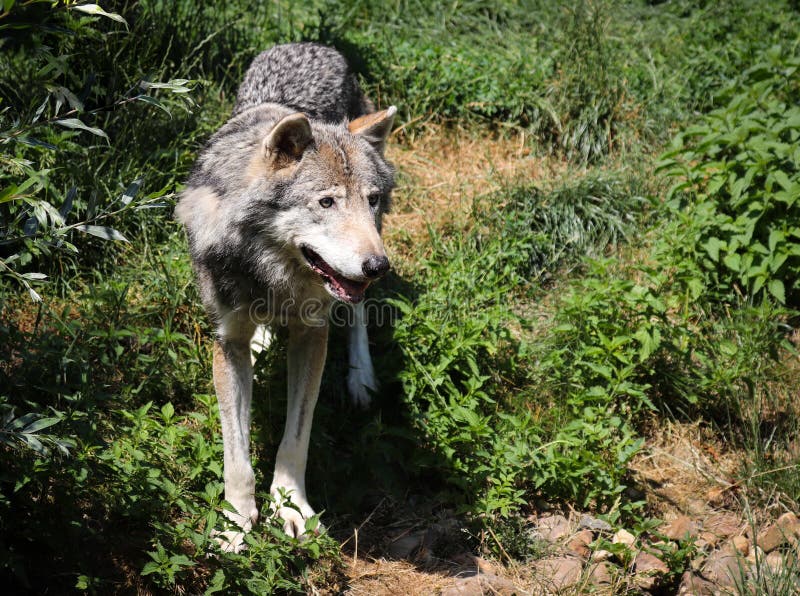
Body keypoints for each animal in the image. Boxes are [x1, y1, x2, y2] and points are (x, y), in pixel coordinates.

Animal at [175, 42, 396, 543]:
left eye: (370, 199)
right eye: (326, 202)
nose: (378, 267)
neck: (273, 271)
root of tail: (314, 45)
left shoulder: (312, 334)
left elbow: (296, 438)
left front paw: (291, 507)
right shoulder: (226, 342)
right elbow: (235, 456)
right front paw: (235, 523)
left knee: (358, 314)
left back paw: (361, 378)